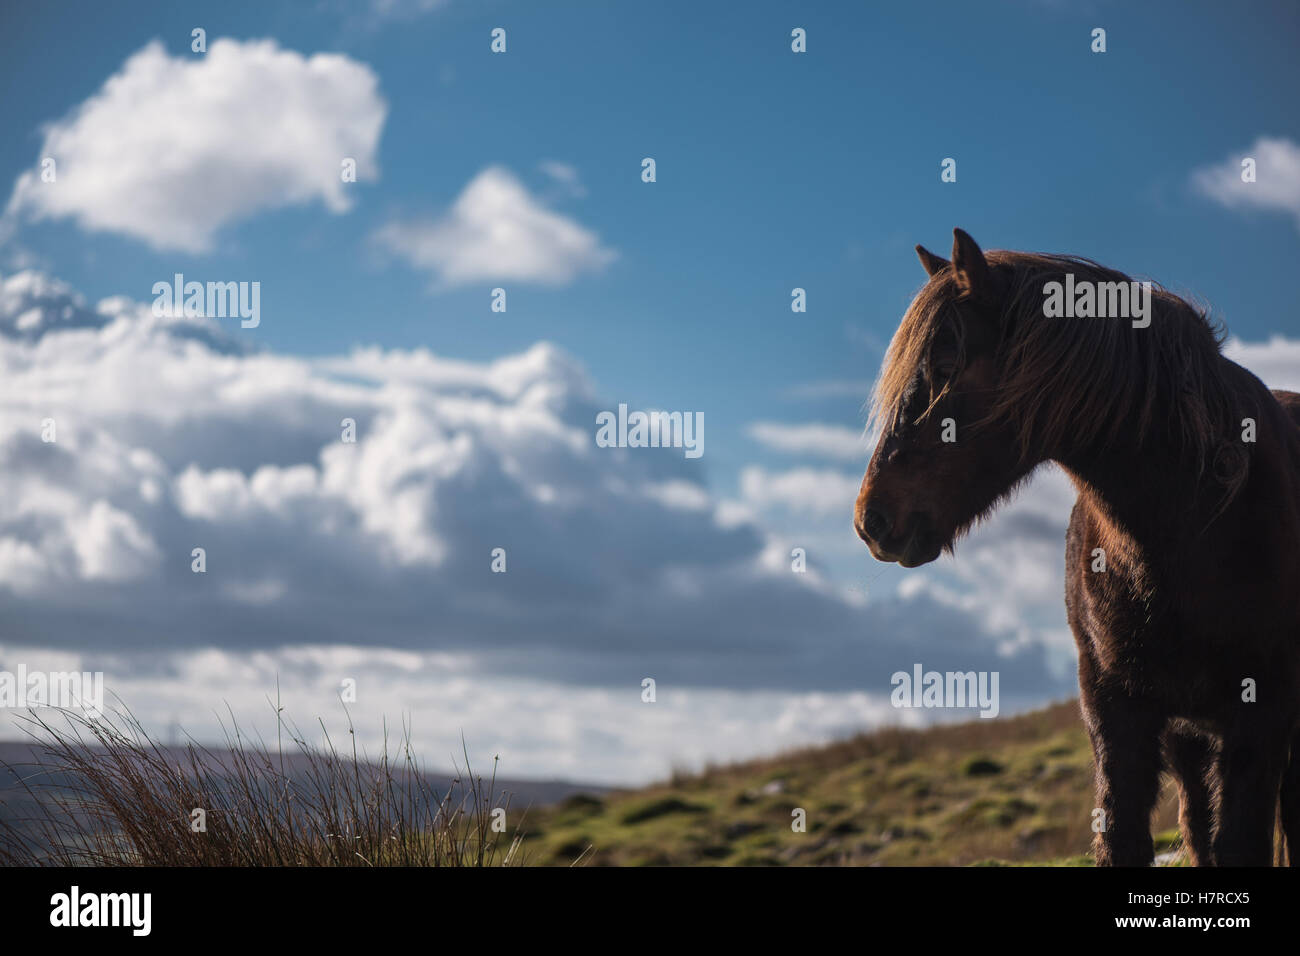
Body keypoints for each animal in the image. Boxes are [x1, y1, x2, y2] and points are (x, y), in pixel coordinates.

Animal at [853, 228, 1300, 866]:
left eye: (945, 364)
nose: (871, 519)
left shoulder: (1263, 715)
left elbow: (1241, 843)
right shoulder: (1114, 708)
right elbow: (1124, 837)